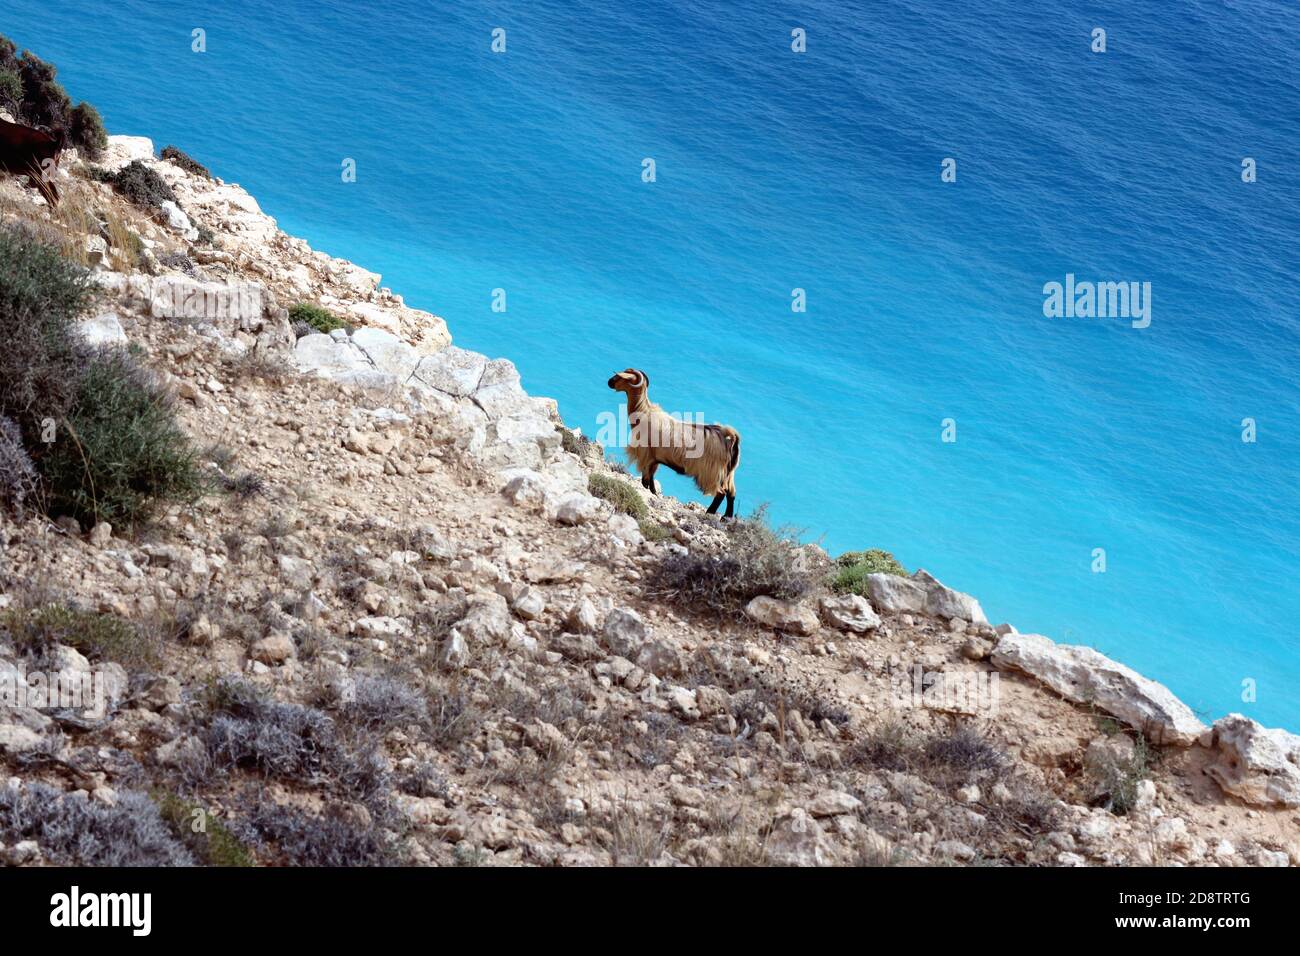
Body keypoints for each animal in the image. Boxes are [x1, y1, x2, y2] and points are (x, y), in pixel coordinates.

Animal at [607, 367, 741, 518]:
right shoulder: (655, 459)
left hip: (712, 472)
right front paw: (653, 494)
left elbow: (645, 481)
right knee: (731, 493)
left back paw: (710, 513)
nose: (609, 382)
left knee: (720, 493)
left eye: (621, 377)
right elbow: (651, 480)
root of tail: (730, 438)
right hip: (728, 473)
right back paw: (726, 517)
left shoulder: (646, 456)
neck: (643, 411)